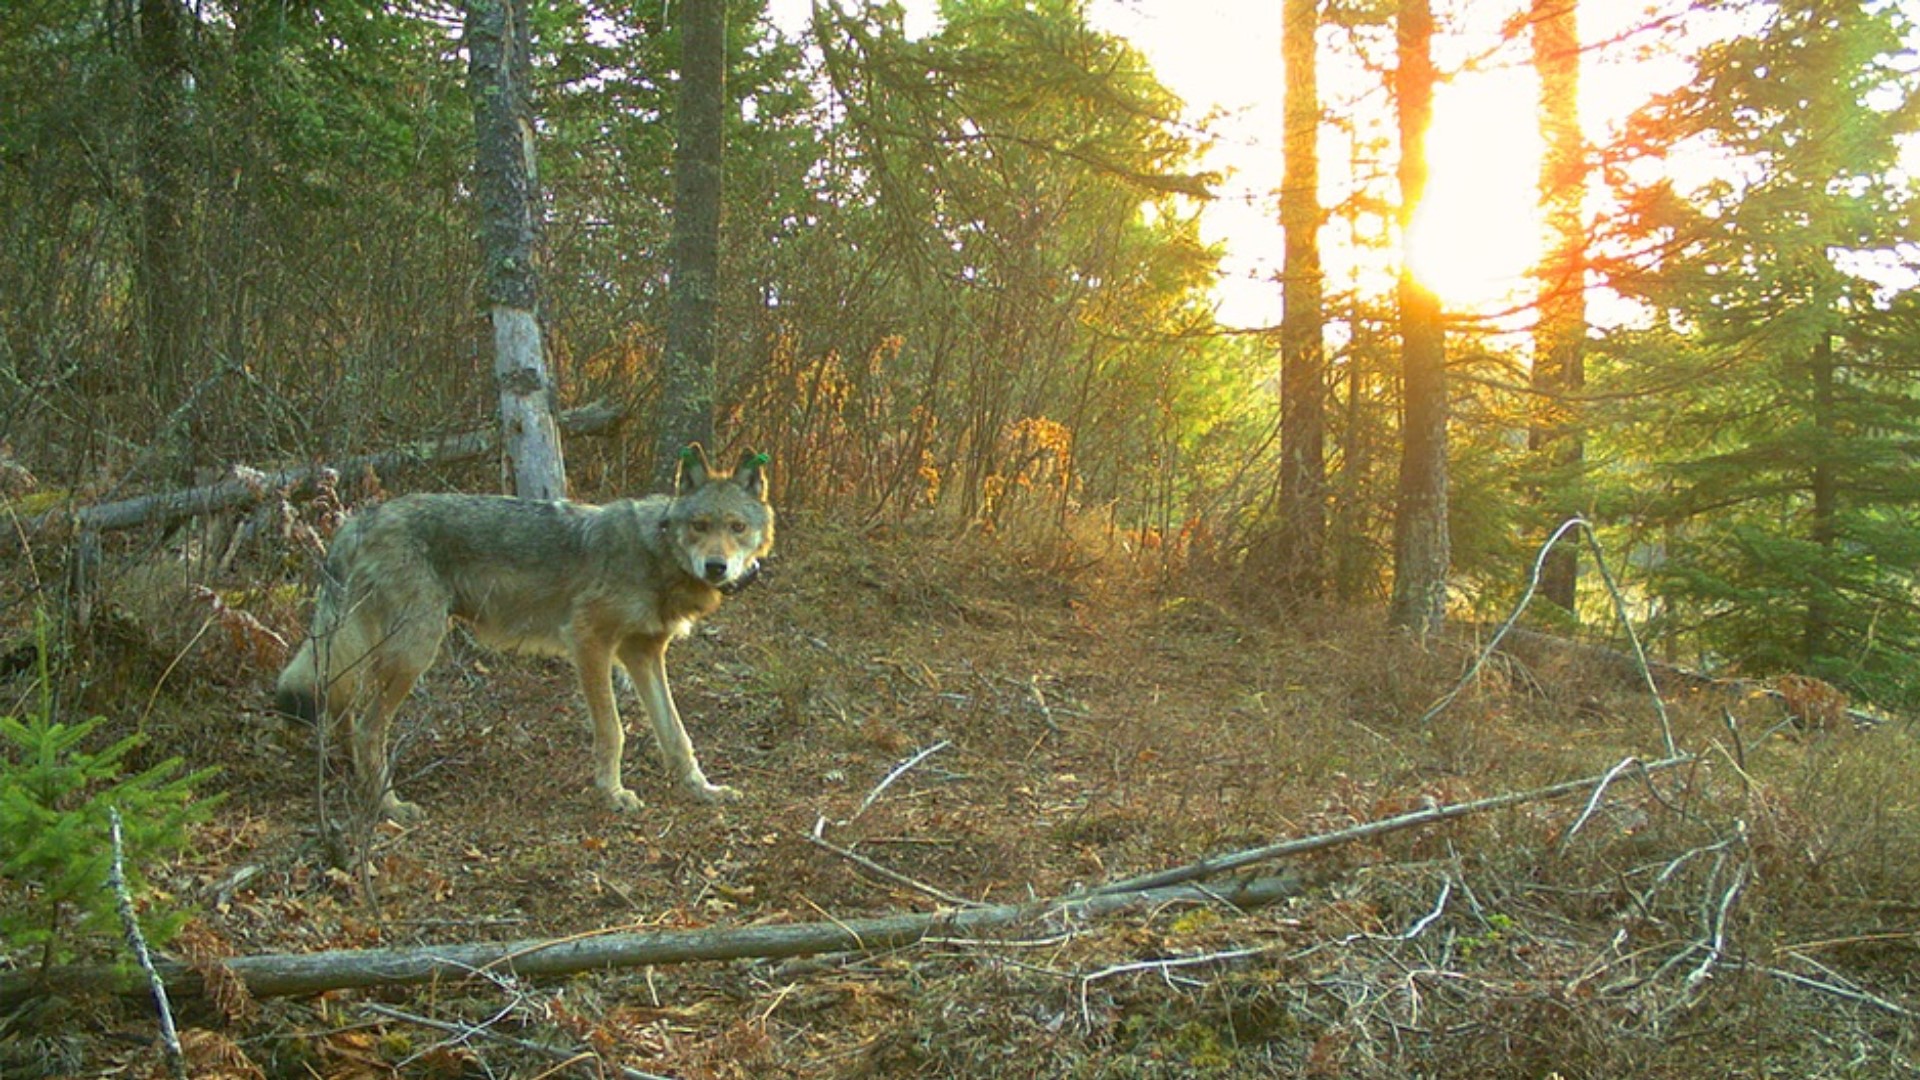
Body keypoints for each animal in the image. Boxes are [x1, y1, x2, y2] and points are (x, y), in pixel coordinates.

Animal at [274, 445, 774, 821]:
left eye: (736, 527)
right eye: (700, 526)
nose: (716, 566)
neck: (657, 552)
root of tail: (359, 519)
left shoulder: (644, 653)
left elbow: (676, 734)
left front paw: (702, 789)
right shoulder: (589, 641)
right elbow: (613, 731)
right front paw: (612, 794)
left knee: (343, 709)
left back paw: (350, 777)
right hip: (415, 652)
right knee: (366, 727)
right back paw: (389, 806)